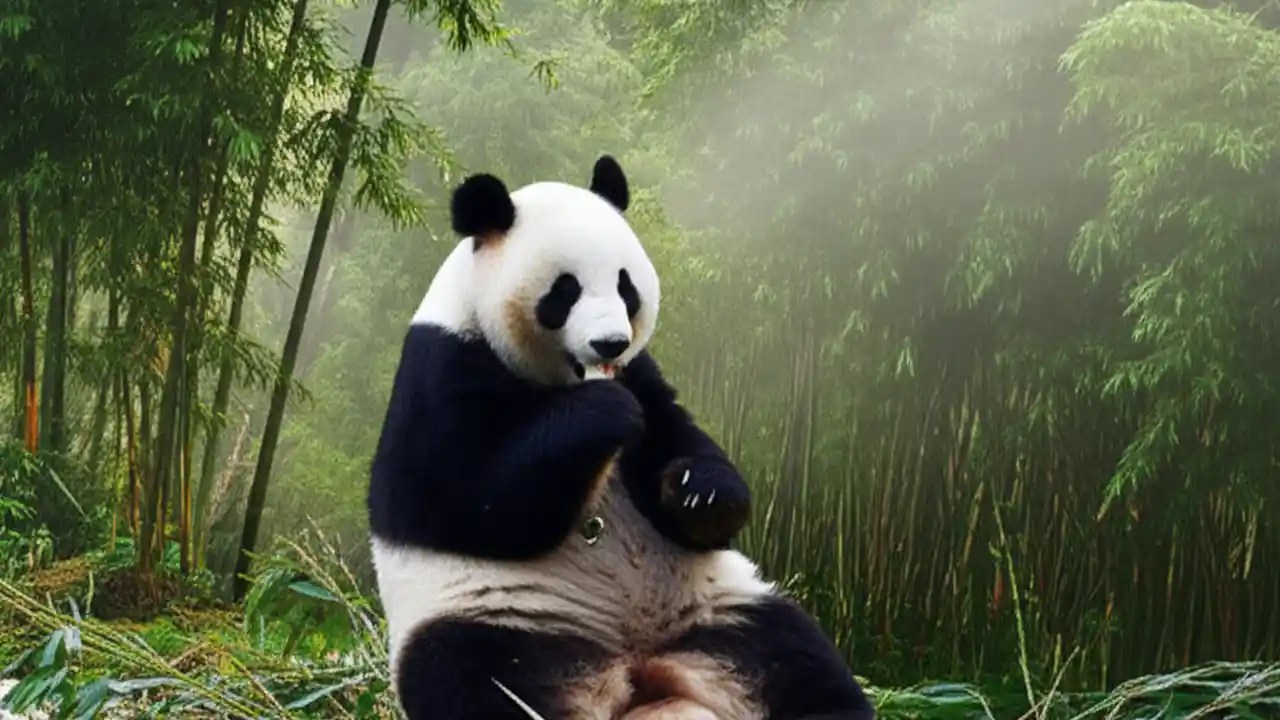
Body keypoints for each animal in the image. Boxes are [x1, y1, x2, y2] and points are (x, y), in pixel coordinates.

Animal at [368, 155, 875, 720]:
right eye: (564, 291)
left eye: (624, 286)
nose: (610, 341)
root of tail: (636, 665)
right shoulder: (442, 369)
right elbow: (469, 500)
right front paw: (604, 414)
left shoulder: (643, 372)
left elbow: (681, 444)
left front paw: (702, 494)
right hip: (503, 623)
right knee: (474, 681)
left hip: (722, 614)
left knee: (800, 663)